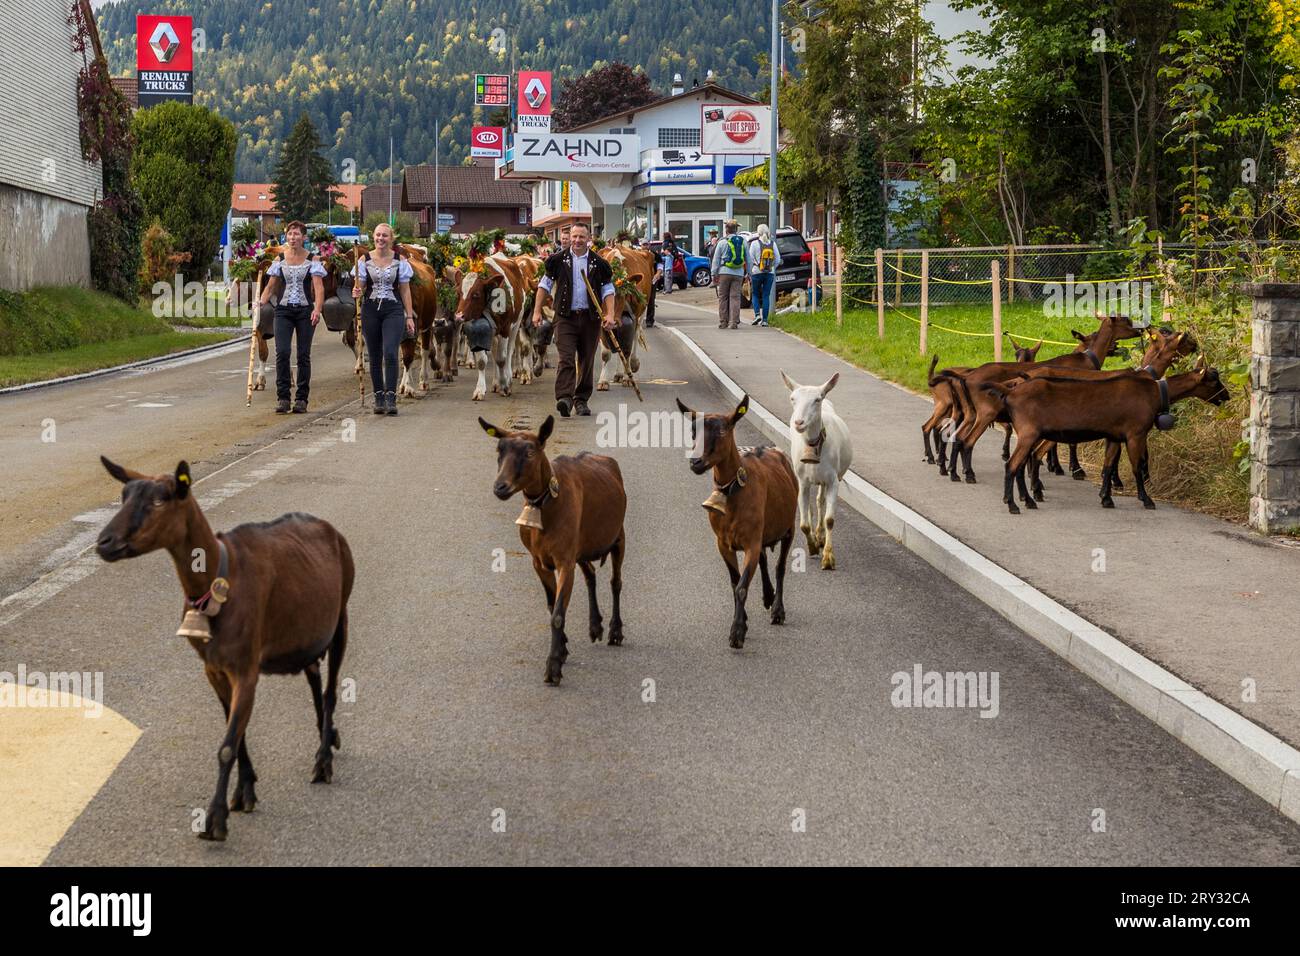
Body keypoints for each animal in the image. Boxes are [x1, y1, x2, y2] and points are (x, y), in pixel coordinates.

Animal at [596, 244, 655, 392]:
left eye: (621, 295)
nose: (613, 322)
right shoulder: (601, 320)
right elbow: (606, 354)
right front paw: (603, 381)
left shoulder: (633, 317)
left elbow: (627, 349)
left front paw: (628, 378)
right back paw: (618, 374)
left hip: (641, 314)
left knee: (634, 338)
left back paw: (632, 365)